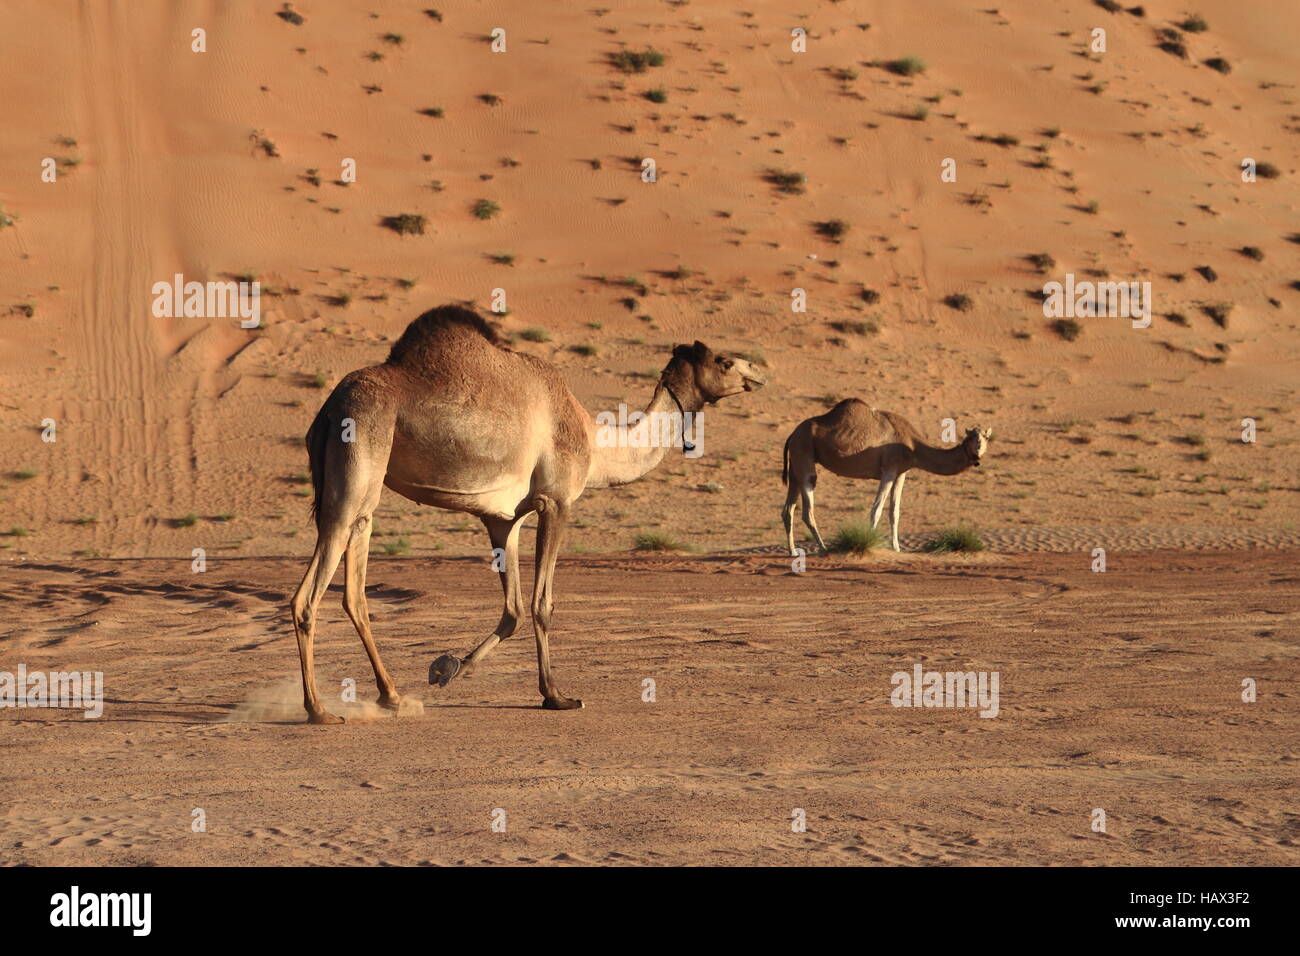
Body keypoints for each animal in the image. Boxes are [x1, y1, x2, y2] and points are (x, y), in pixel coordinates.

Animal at [290, 304, 765, 723]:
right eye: (724, 361)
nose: (757, 372)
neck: (594, 443)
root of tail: (329, 409)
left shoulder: (504, 520)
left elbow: (513, 608)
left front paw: (449, 667)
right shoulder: (556, 502)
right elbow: (542, 603)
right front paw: (556, 696)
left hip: (361, 489)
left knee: (354, 590)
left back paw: (392, 697)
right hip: (359, 458)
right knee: (309, 594)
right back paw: (319, 710)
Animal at [780, 399, 990, 555]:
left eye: (986, 438)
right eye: (972, 438)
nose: (978, 450)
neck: (912, 444)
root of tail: (791, 435)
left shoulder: (901, 472)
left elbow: (894, 512)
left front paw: (896, 548)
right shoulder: (888, 469)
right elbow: (876, 510)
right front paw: (870, 543)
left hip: (796, 462)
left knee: (788, 509)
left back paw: (792, 551)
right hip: (804, 451)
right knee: (807, 506)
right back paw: (823, 548)